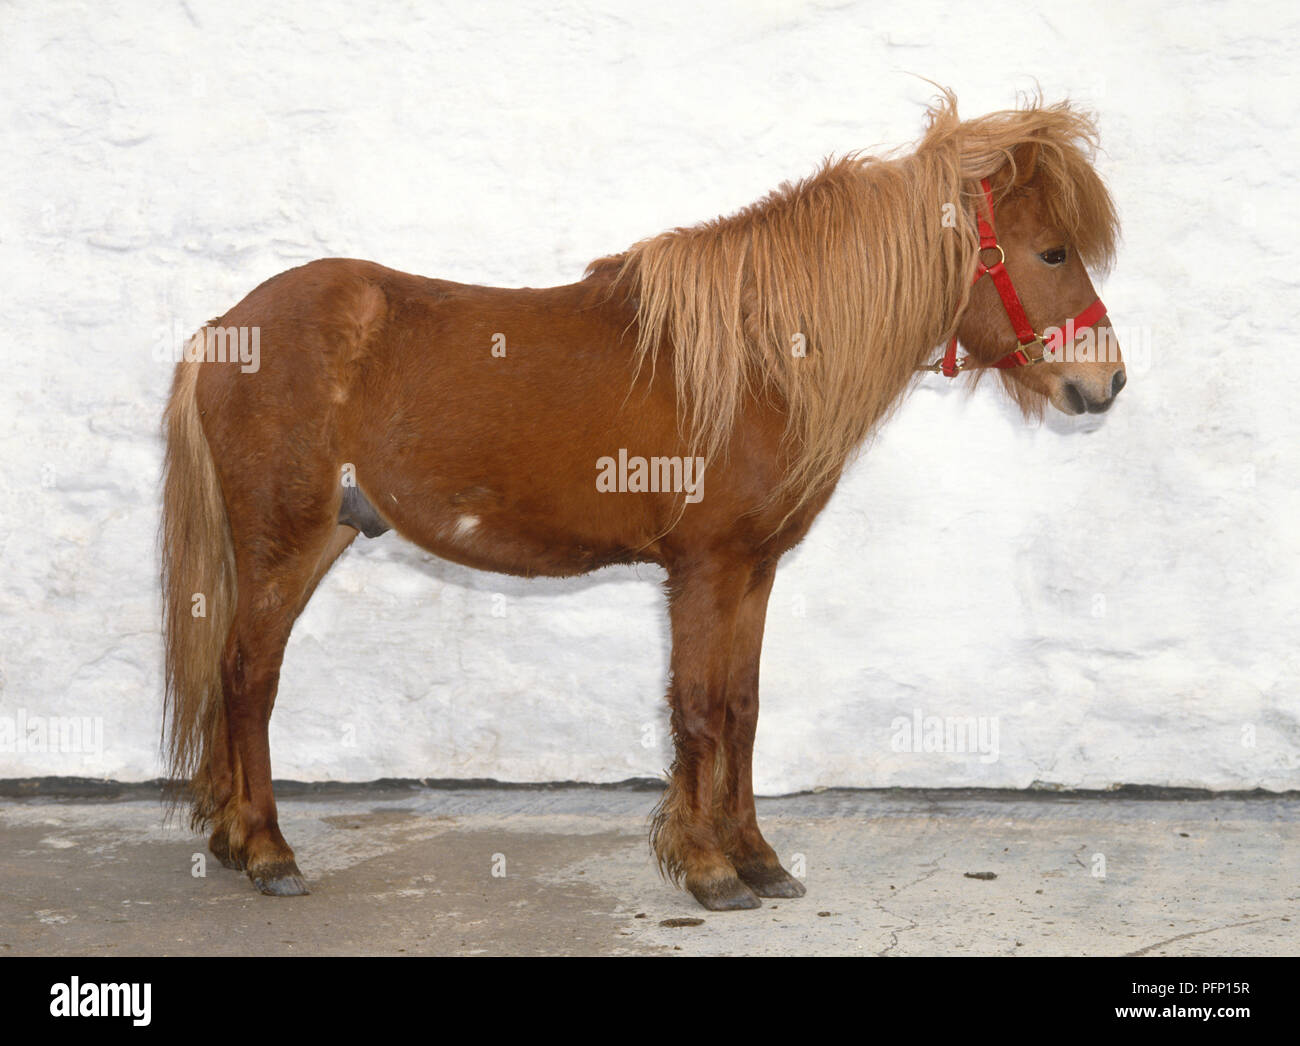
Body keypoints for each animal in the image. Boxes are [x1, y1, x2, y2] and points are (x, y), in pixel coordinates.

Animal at [161, 91, 1124, 911]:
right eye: (1051, 251)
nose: (1107, 381)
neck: (760, 360)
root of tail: (225, 331)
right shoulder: (704, 569)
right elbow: (695, 708)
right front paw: (707, 869)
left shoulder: (754, 572)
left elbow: (741, 708)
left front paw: (759, 859)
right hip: (283, 544)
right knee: (247, 677)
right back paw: (270, 853)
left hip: (318, 538)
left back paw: (236, 842)